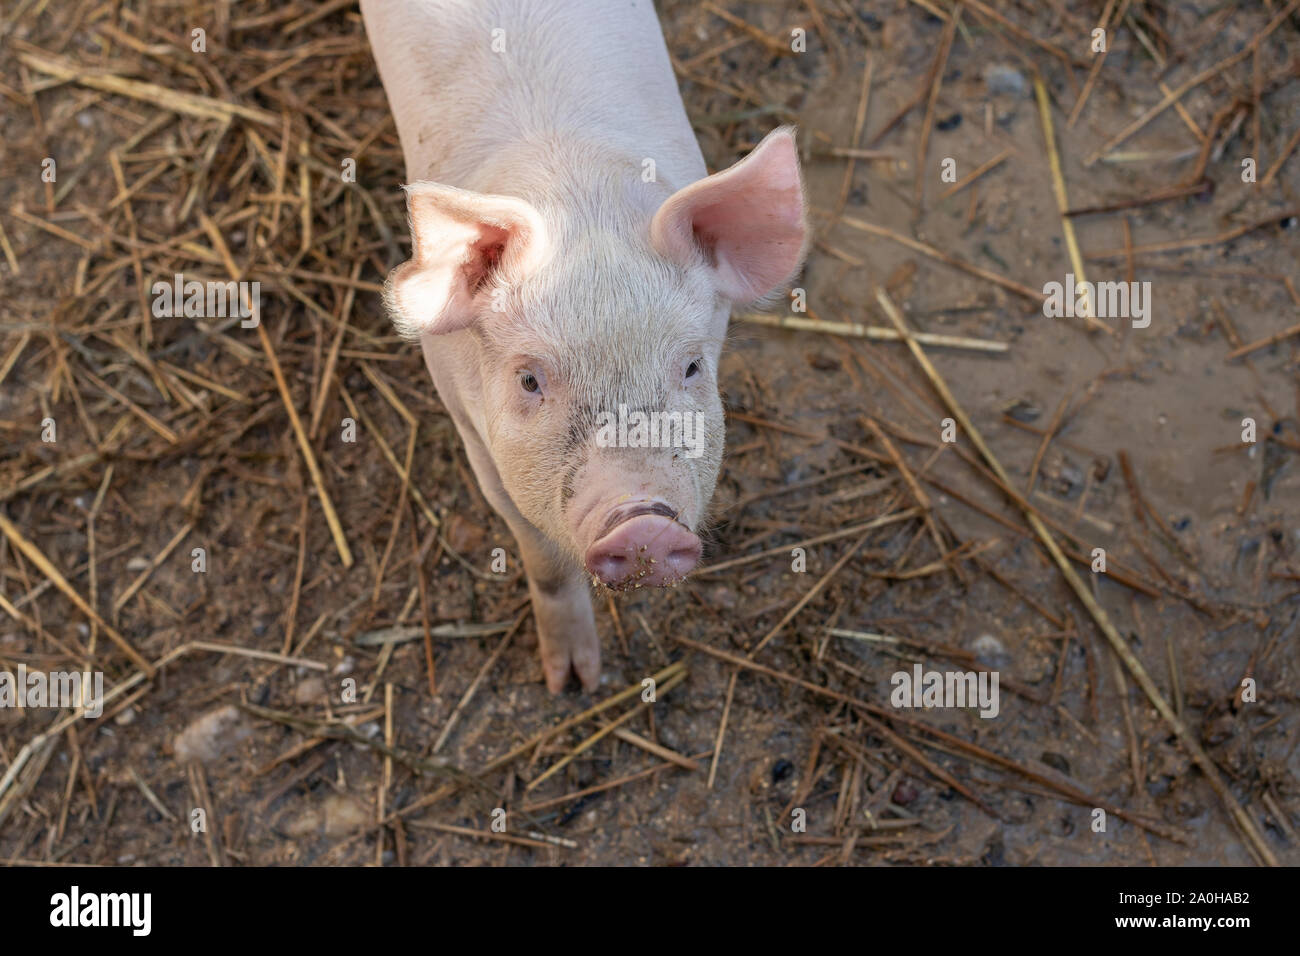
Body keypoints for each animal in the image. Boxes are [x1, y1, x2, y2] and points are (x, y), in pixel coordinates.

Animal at [360, 0, 808, 692]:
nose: (645, 523)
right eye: (529, 380)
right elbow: (545, 564)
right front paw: (571, 682)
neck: (579, 194)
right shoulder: (474, 437)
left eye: (691, 366)